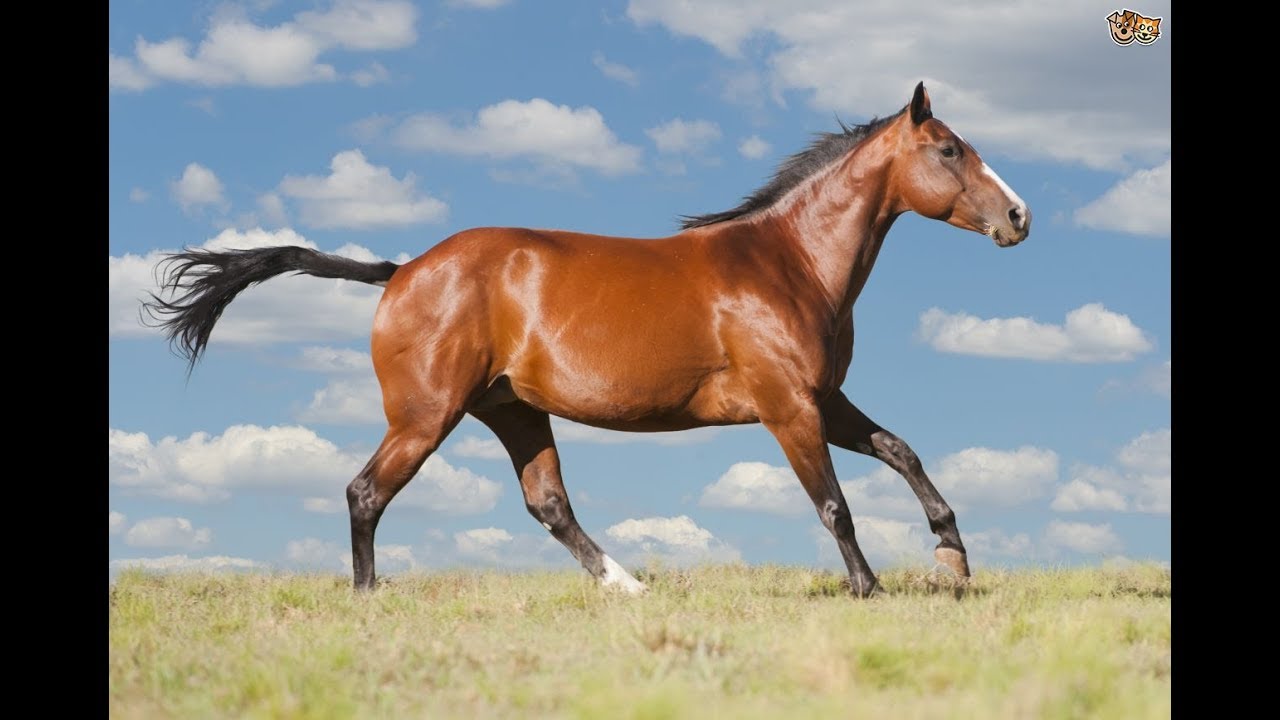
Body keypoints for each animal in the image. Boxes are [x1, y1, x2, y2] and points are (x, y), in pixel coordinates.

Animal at [143, 83, 1030, 597]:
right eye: (949, 149)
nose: (1019, 217)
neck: (786, 262)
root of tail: (401, 273)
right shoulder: (788, 408)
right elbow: (835, 504)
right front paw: (869, 588)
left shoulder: (825, 399)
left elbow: (902, 451)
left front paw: (953, 559)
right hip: (426, 416)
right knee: (366, 492)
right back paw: (369, 595)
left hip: (512, 411)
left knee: (548, 505)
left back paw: (628, 588)